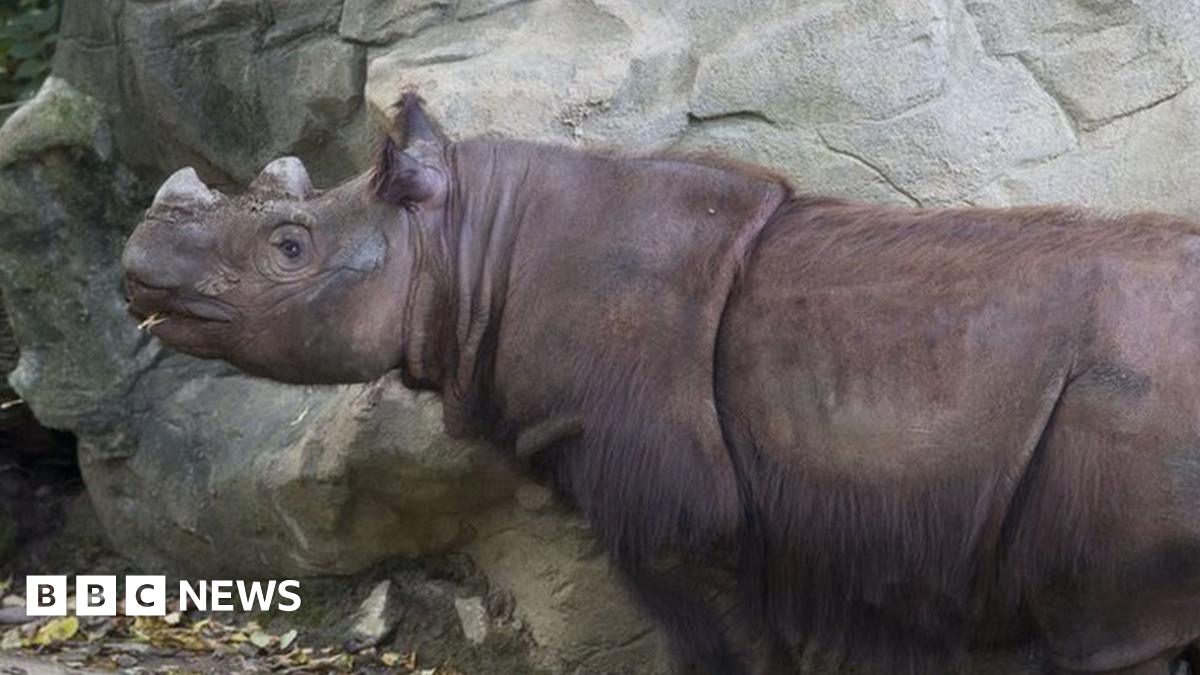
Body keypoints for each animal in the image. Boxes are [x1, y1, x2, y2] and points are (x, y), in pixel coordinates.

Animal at [122, 94, 1200, 675]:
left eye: (289, 247)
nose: (136, 269)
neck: (468, 246)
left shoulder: (686, 520)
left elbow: (724, 647)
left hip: (1132, 413)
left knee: (1112, 634)